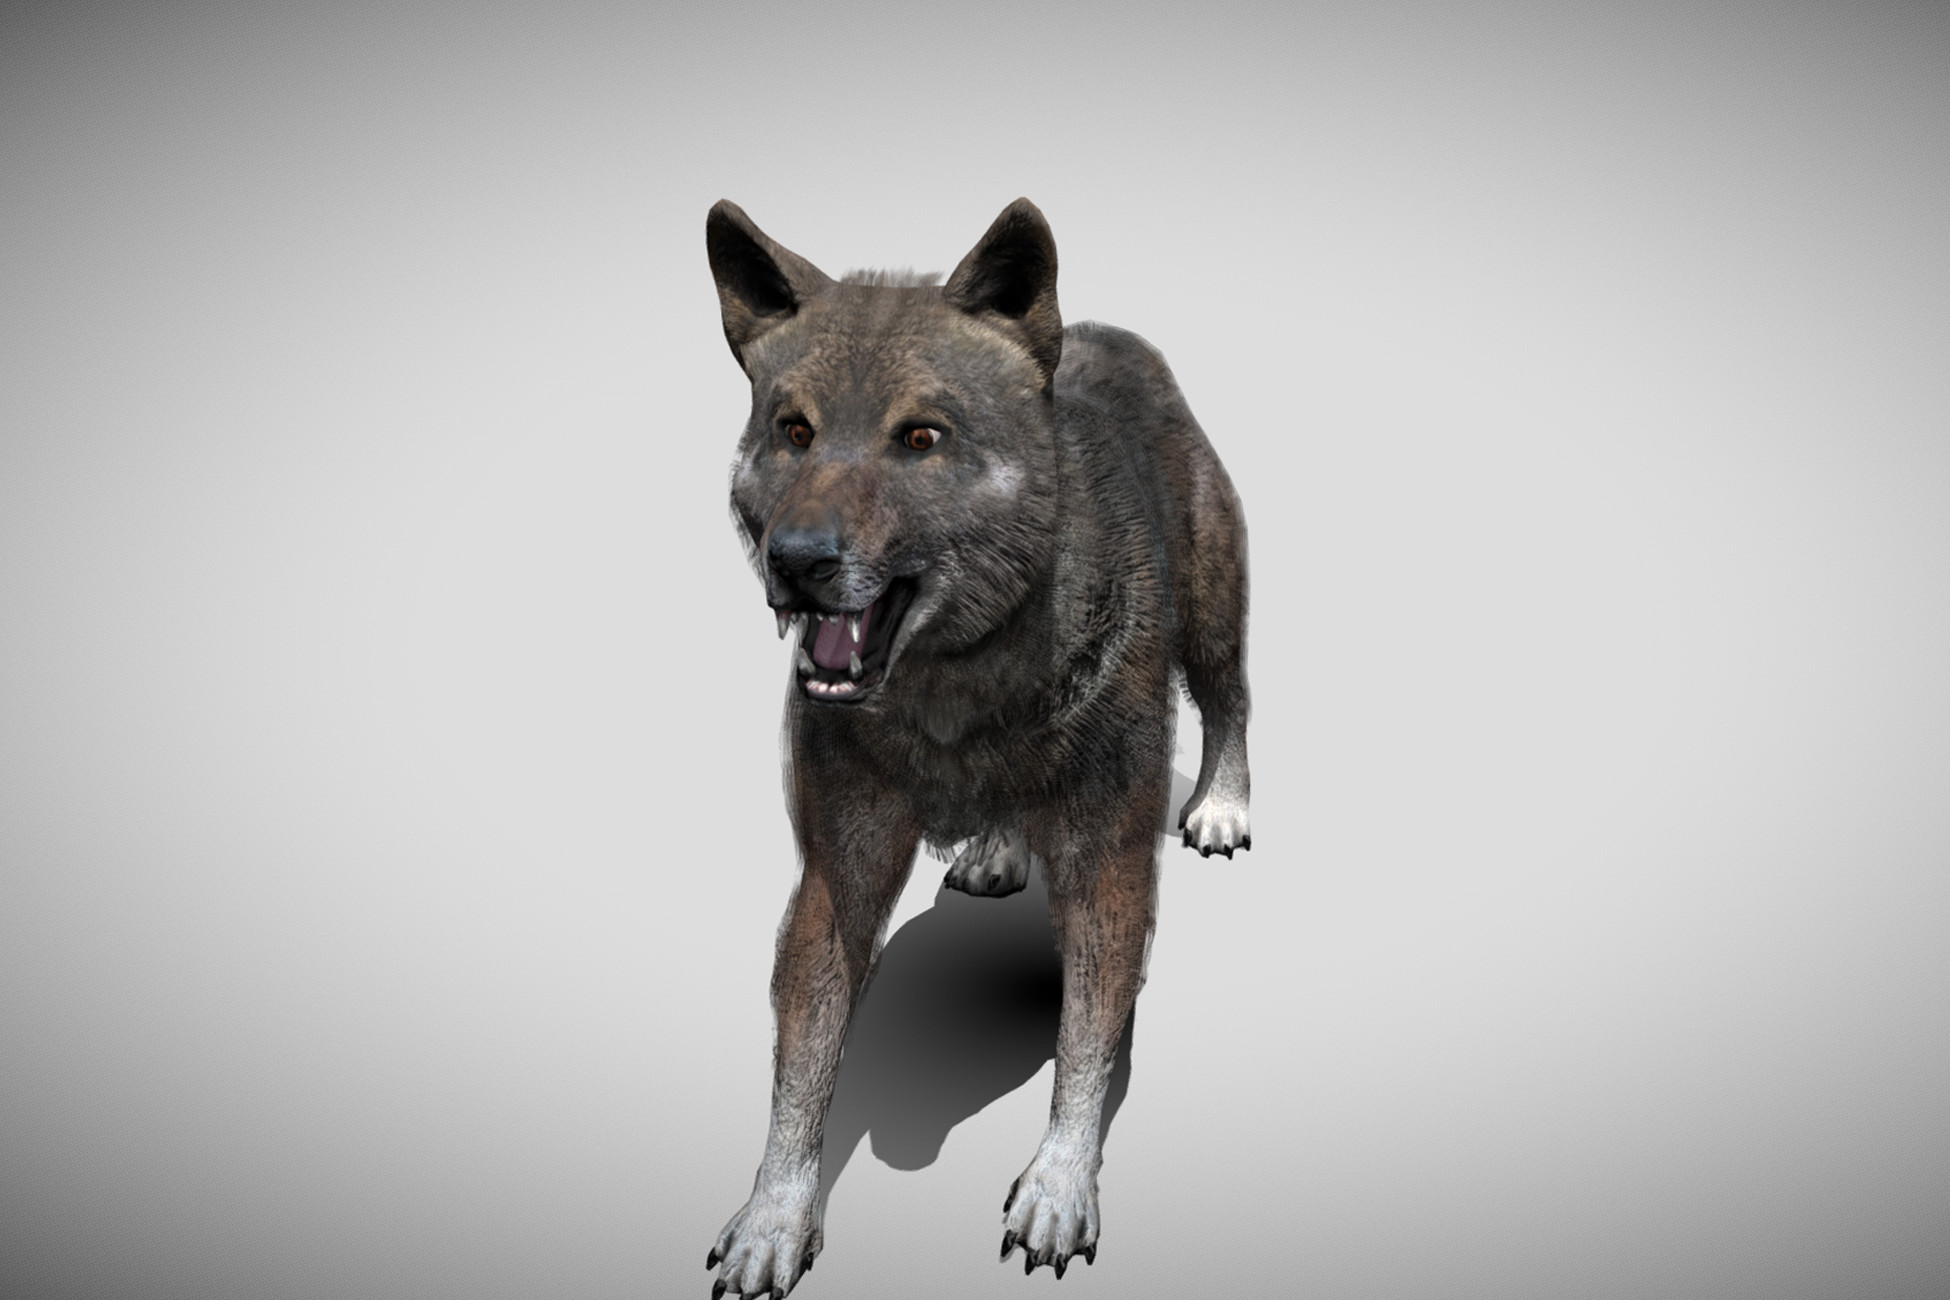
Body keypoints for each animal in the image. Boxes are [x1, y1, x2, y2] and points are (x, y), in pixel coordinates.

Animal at [702, 198, 1251, 1296]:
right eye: (793, 430)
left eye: (921, 436)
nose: (796, 561)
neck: (958, 686)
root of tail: (1108, 333)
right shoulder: (834, 879)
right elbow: (803, 1063)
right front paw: (774, 1214)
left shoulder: (1110, 864)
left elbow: (1086, 1038)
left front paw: (1059, 1188)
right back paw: (996, 848)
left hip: (1214, 615)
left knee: (1234, 698)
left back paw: (1223, 803)